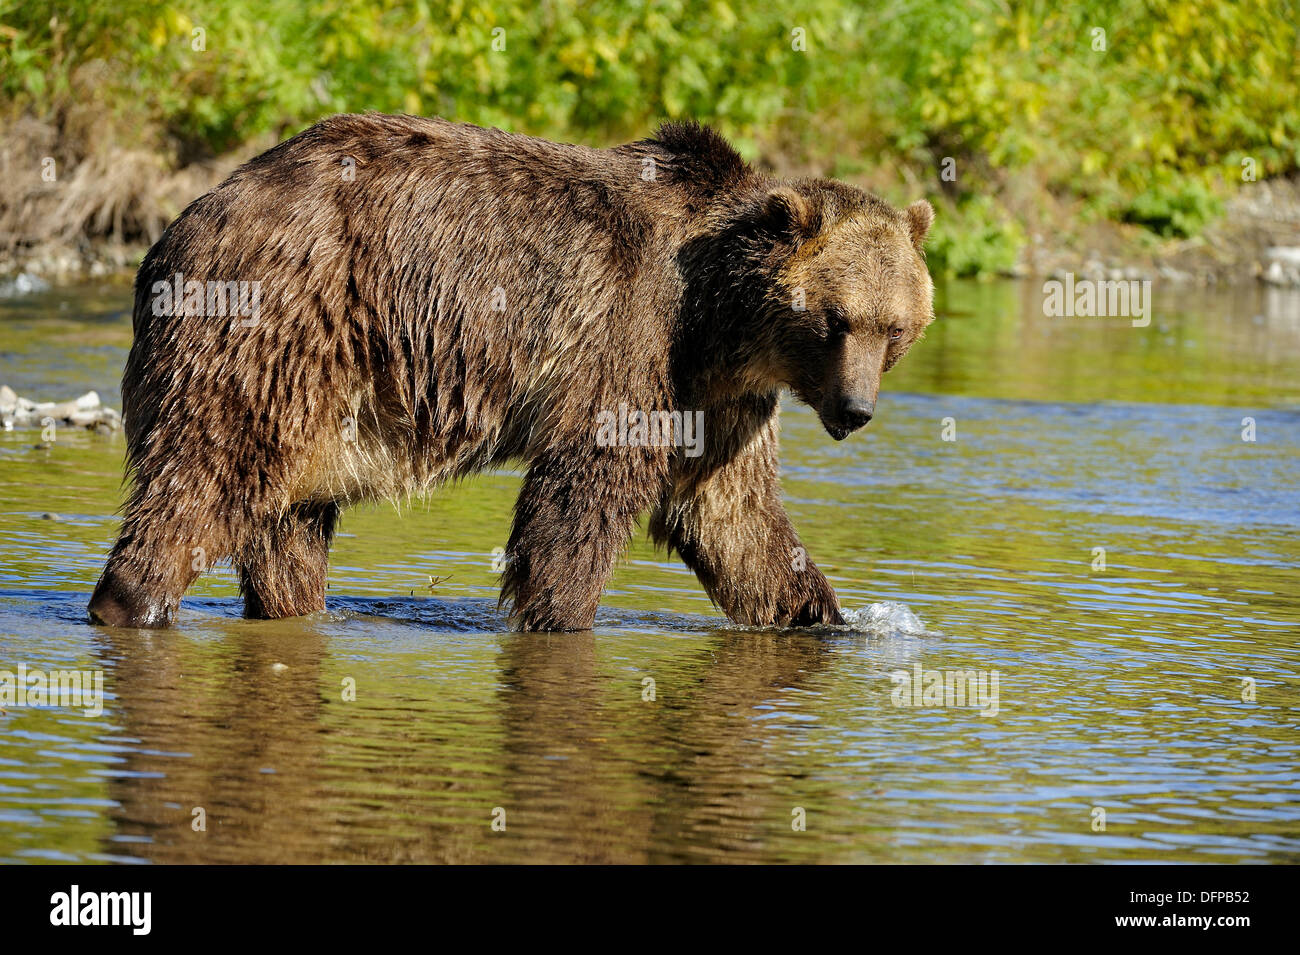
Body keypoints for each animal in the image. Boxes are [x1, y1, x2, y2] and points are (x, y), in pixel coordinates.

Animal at [87, 114, 935, 631]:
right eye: (835, 321)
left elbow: (736, 520)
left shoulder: (722, 398)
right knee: (204, 477)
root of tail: (183, 222)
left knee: (285, 525)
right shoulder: (633, 339)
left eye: (895, 327)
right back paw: (129, 600)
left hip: (316, 392)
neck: (720, 319)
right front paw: (561, 612)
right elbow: (584, 494)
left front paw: (828, 616)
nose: (855, 410)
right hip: (274, 324)